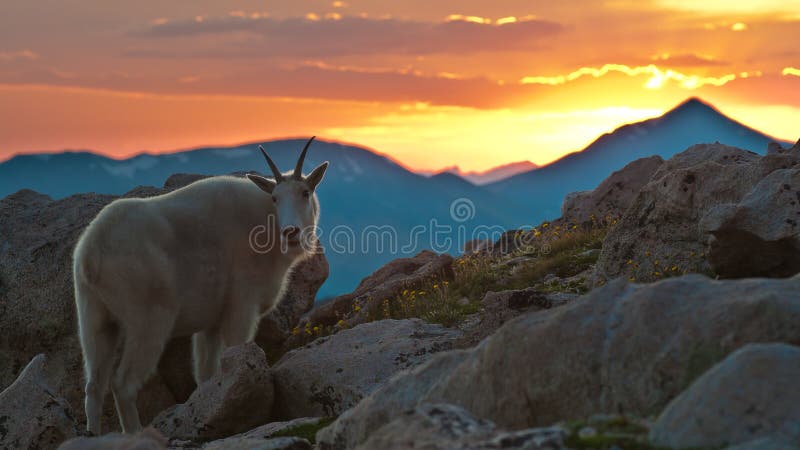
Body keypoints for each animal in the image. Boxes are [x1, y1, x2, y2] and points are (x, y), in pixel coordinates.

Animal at [73, 137, 328, 434]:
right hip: (148, 320)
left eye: (305, 192)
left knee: (94, 386)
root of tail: (92, 254)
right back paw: (136, 433)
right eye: (275, 197)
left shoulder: (210, 323)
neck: (267, 223)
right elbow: (236, 351)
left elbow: (205, 374)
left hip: (94, 316)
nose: (291, 232)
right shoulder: (242, 306)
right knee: (122, 384)